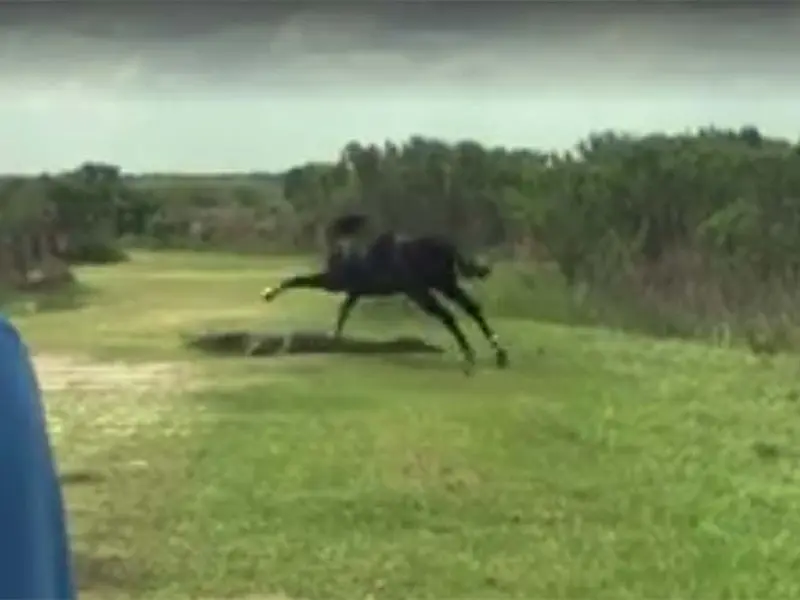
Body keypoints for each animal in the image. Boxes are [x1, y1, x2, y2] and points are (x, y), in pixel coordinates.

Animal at [260, 214, 509, 373]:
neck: (347, 253)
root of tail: (447, 246)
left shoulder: (334, 283)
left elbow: (298, 281)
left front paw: (268, 294)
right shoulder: (354, 292)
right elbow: (344, 312)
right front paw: (335, 338)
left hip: (420, 292)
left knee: (449, 316)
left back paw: (471, 354)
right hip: (444, 285)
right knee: (472, 309)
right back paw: (498, 355)